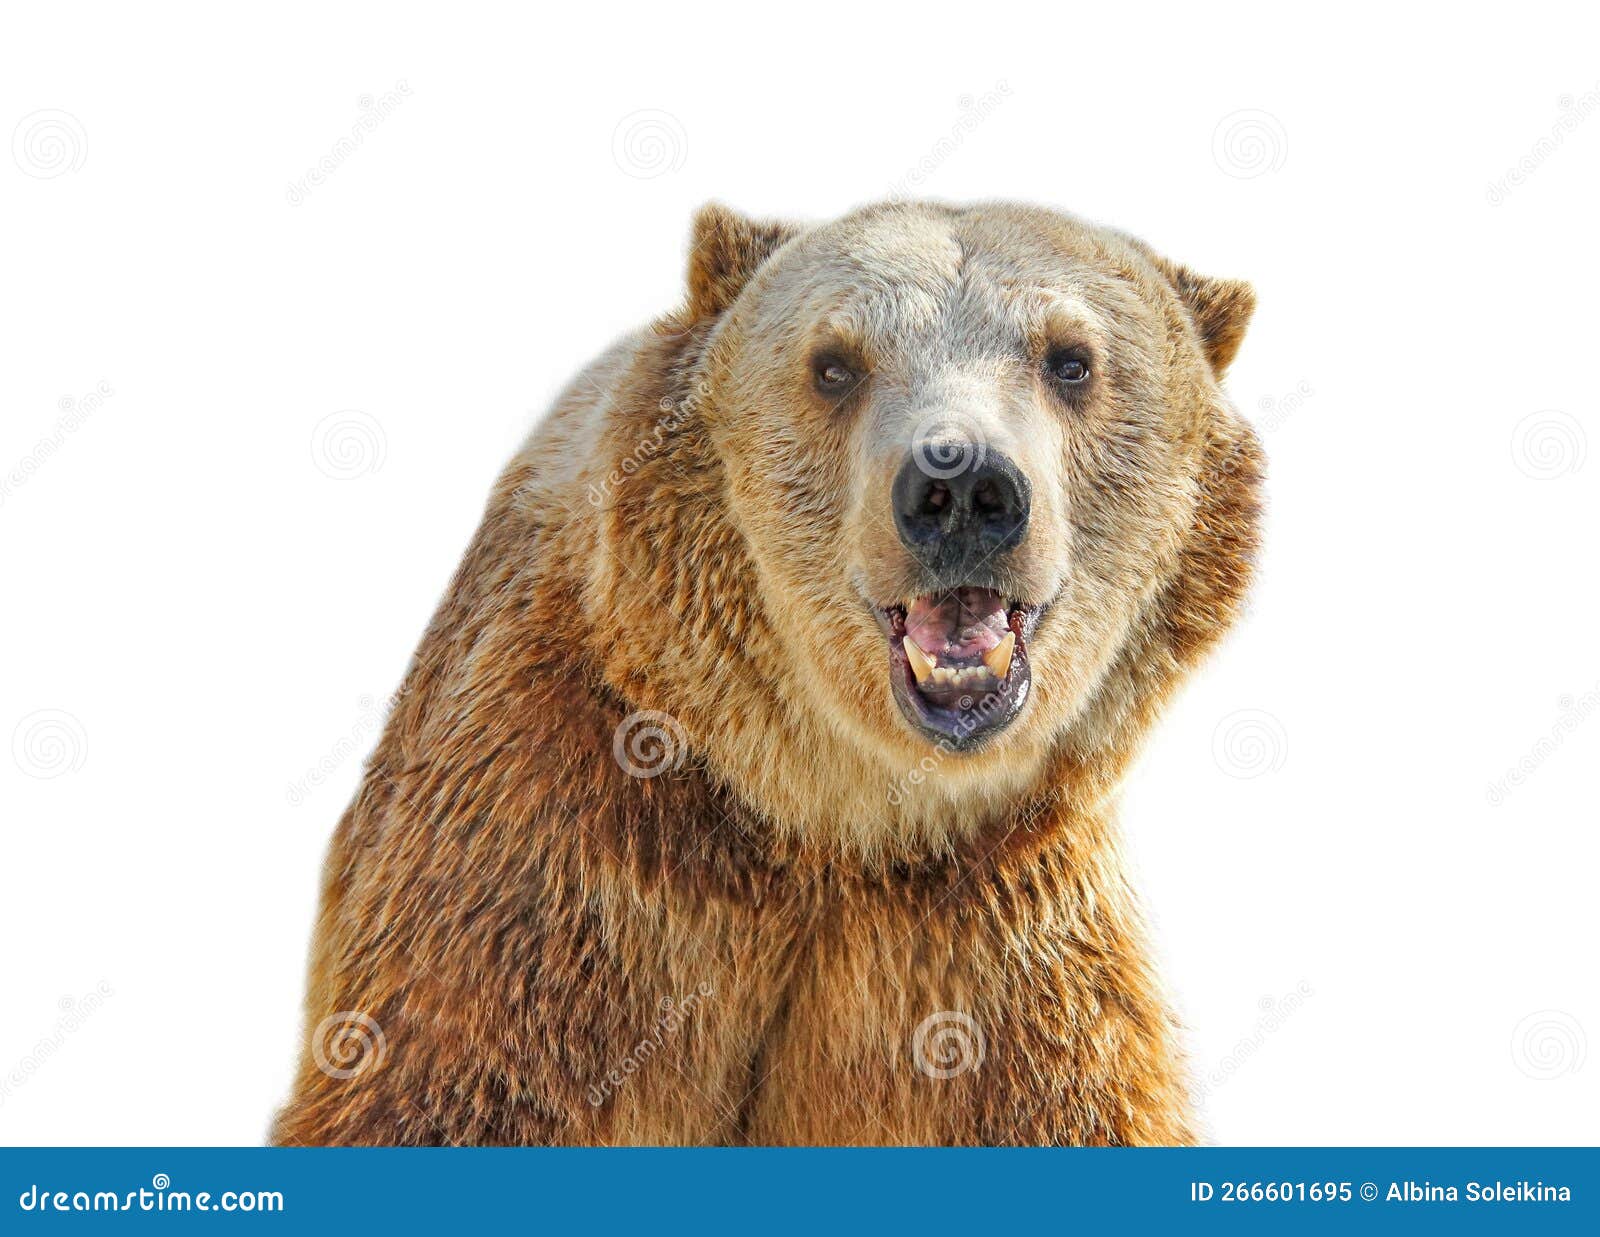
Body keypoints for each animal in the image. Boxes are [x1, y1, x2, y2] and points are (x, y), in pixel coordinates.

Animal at [271, 199, 1262, 1146]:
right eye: (834, 365)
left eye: (1071, 360)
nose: (961, 487)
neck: (833, 810)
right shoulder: (567, 861)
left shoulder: (1000, 942)